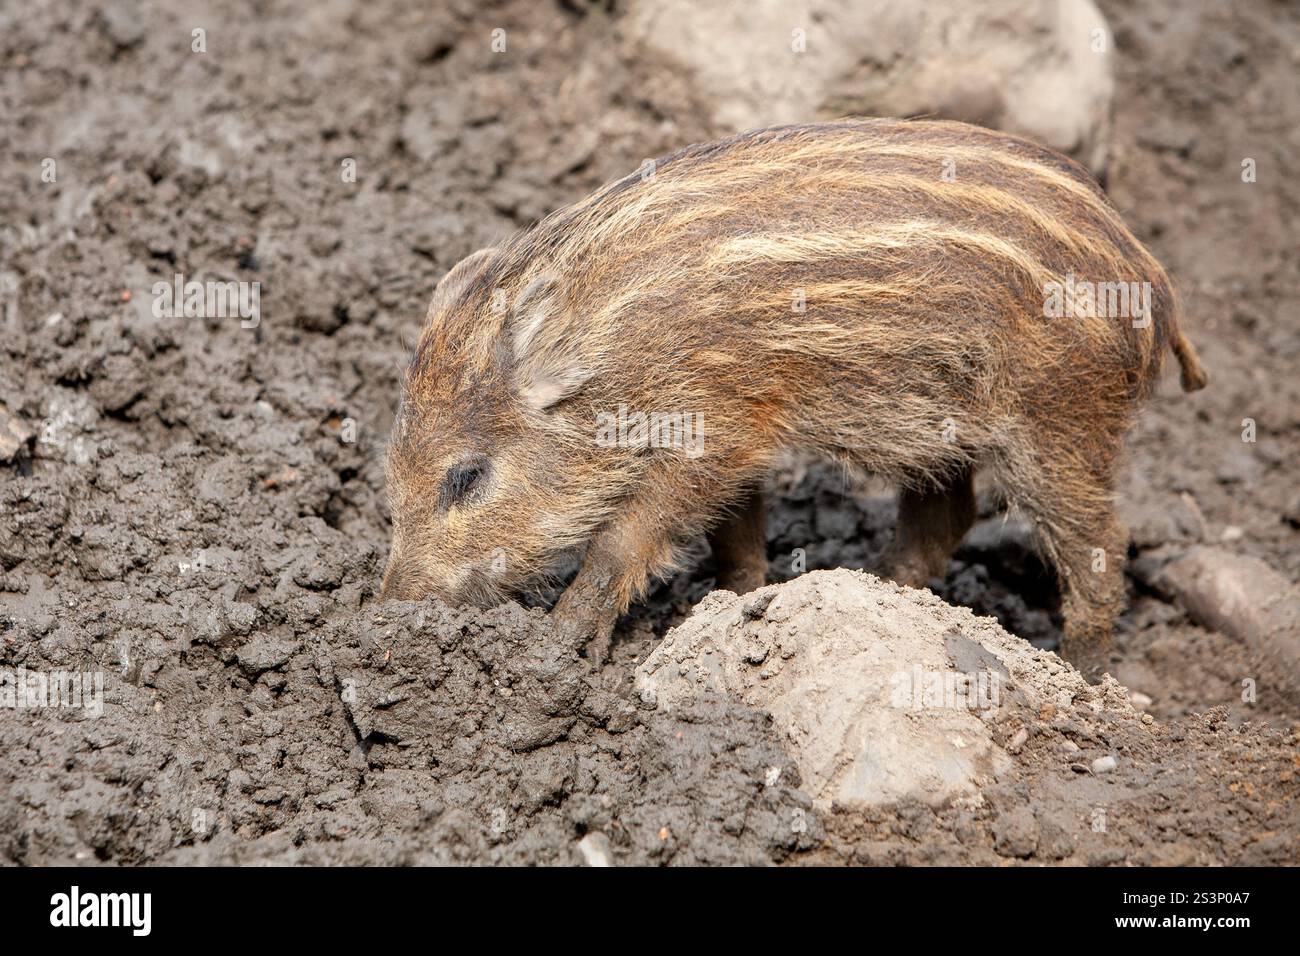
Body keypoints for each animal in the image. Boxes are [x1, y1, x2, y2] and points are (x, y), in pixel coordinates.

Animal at [380, 118, 1207, 678]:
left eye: (467, 476)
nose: (391, 608)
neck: (616, 348)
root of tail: (1155, 284)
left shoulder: (711, 425)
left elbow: (626, 539)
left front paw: (554, 649)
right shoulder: (740, 432)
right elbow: (735, 534)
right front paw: (734, 605)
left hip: (1057, 423)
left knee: (1101, 540)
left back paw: (1081, 670)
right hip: (940, 433)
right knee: (946, 518)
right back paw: (871, 590)